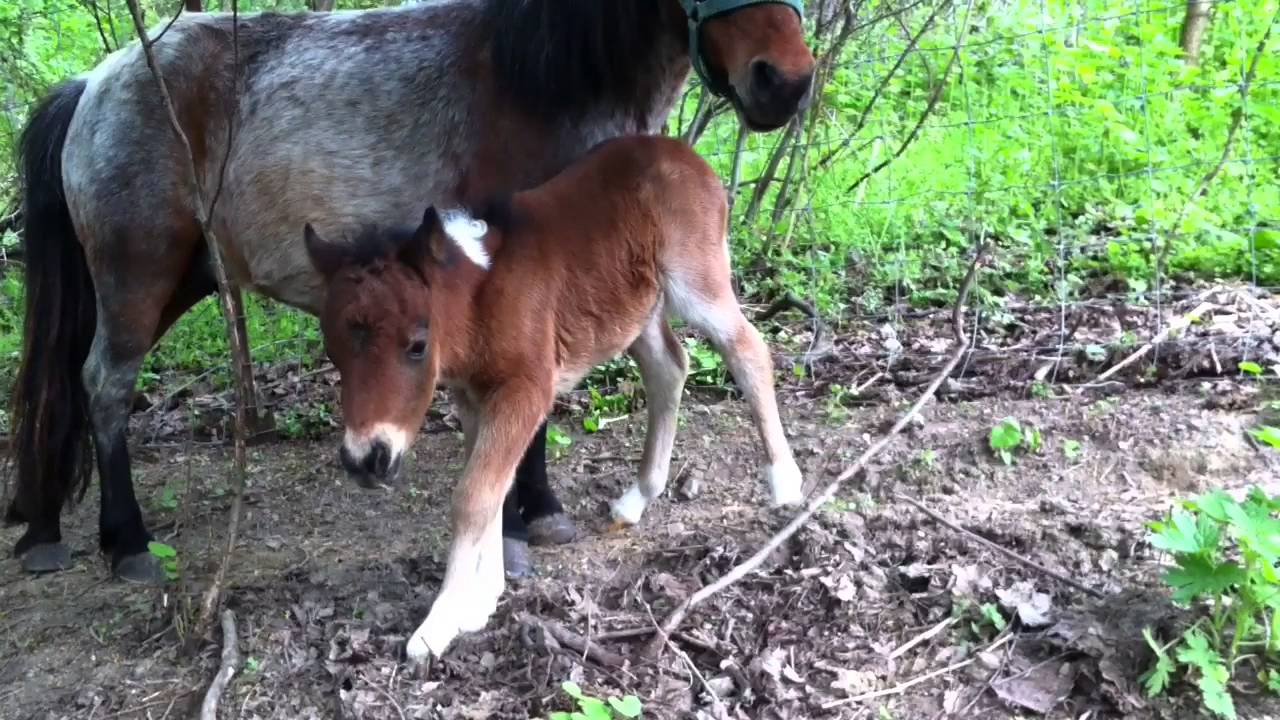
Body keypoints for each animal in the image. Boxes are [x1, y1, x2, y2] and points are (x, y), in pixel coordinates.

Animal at [4, 0, 815, 584]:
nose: (786, 80)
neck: (541, 78)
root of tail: (93, 85)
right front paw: (527, 517)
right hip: (136, 279)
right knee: (104, 385)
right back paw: (128, 542)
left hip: (178, 280)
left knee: (65, 382)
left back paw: (43, 527)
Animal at [303, 133, 806, 661]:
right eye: (333, 352)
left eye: (417, 344)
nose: (366, 459)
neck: (480, 299)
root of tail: (687, 156)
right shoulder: (474, 397)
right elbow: (493, 488)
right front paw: (482, 599)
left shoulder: (527, 388)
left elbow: (474, 494)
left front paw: (439, 622)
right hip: (635, 308)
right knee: (668, 368)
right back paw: (637, 499)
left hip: (697, 282)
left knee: (747, 350)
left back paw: (784, 482)